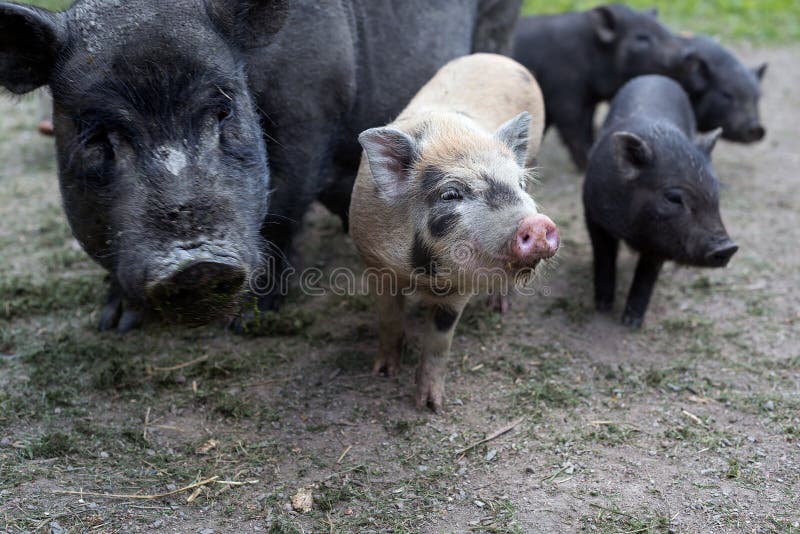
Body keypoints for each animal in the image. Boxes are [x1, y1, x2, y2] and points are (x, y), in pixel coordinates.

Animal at [0, 0, 520, 332]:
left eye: (224, 110)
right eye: (97, 136)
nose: (196, 264)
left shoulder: (307, 116)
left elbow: (281, 210)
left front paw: (246, 321)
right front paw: (114, 326)